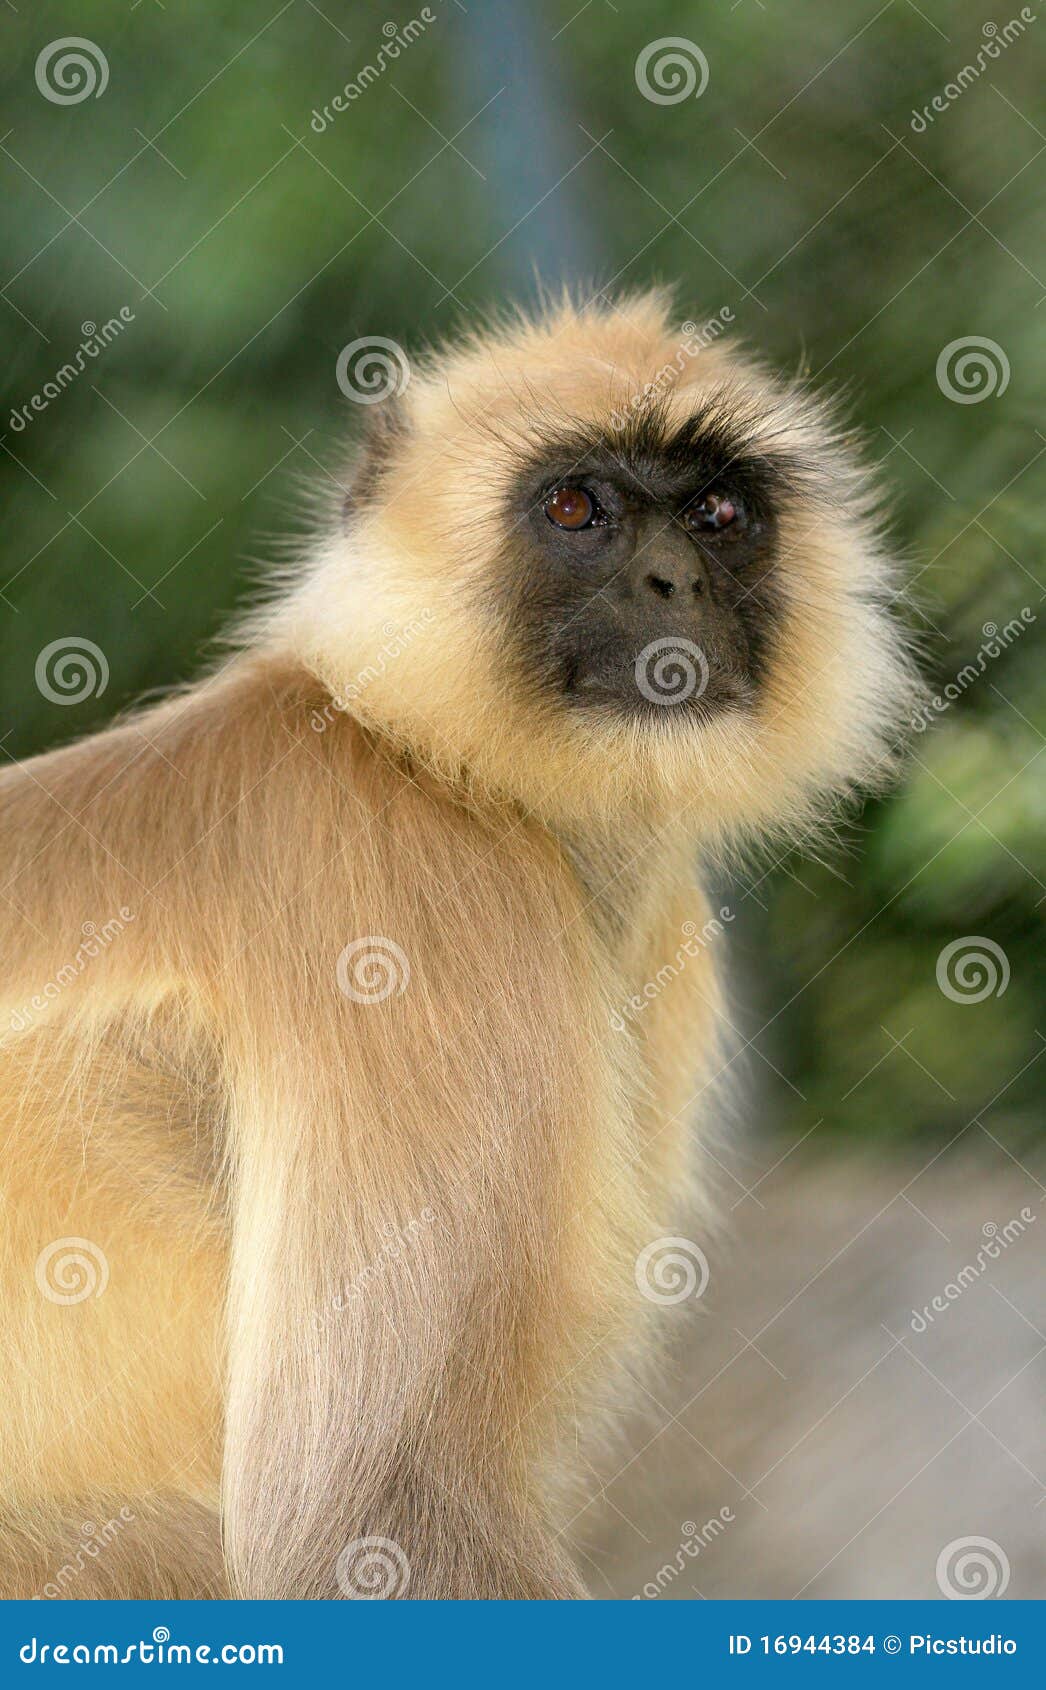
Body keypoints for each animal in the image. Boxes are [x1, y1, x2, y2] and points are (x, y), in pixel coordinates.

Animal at [0, 290, 918, 1600]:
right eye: (576, 509)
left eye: (716, 514)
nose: (672, 582)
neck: (424, 760)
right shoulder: (413, 890)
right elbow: (373, 1515)